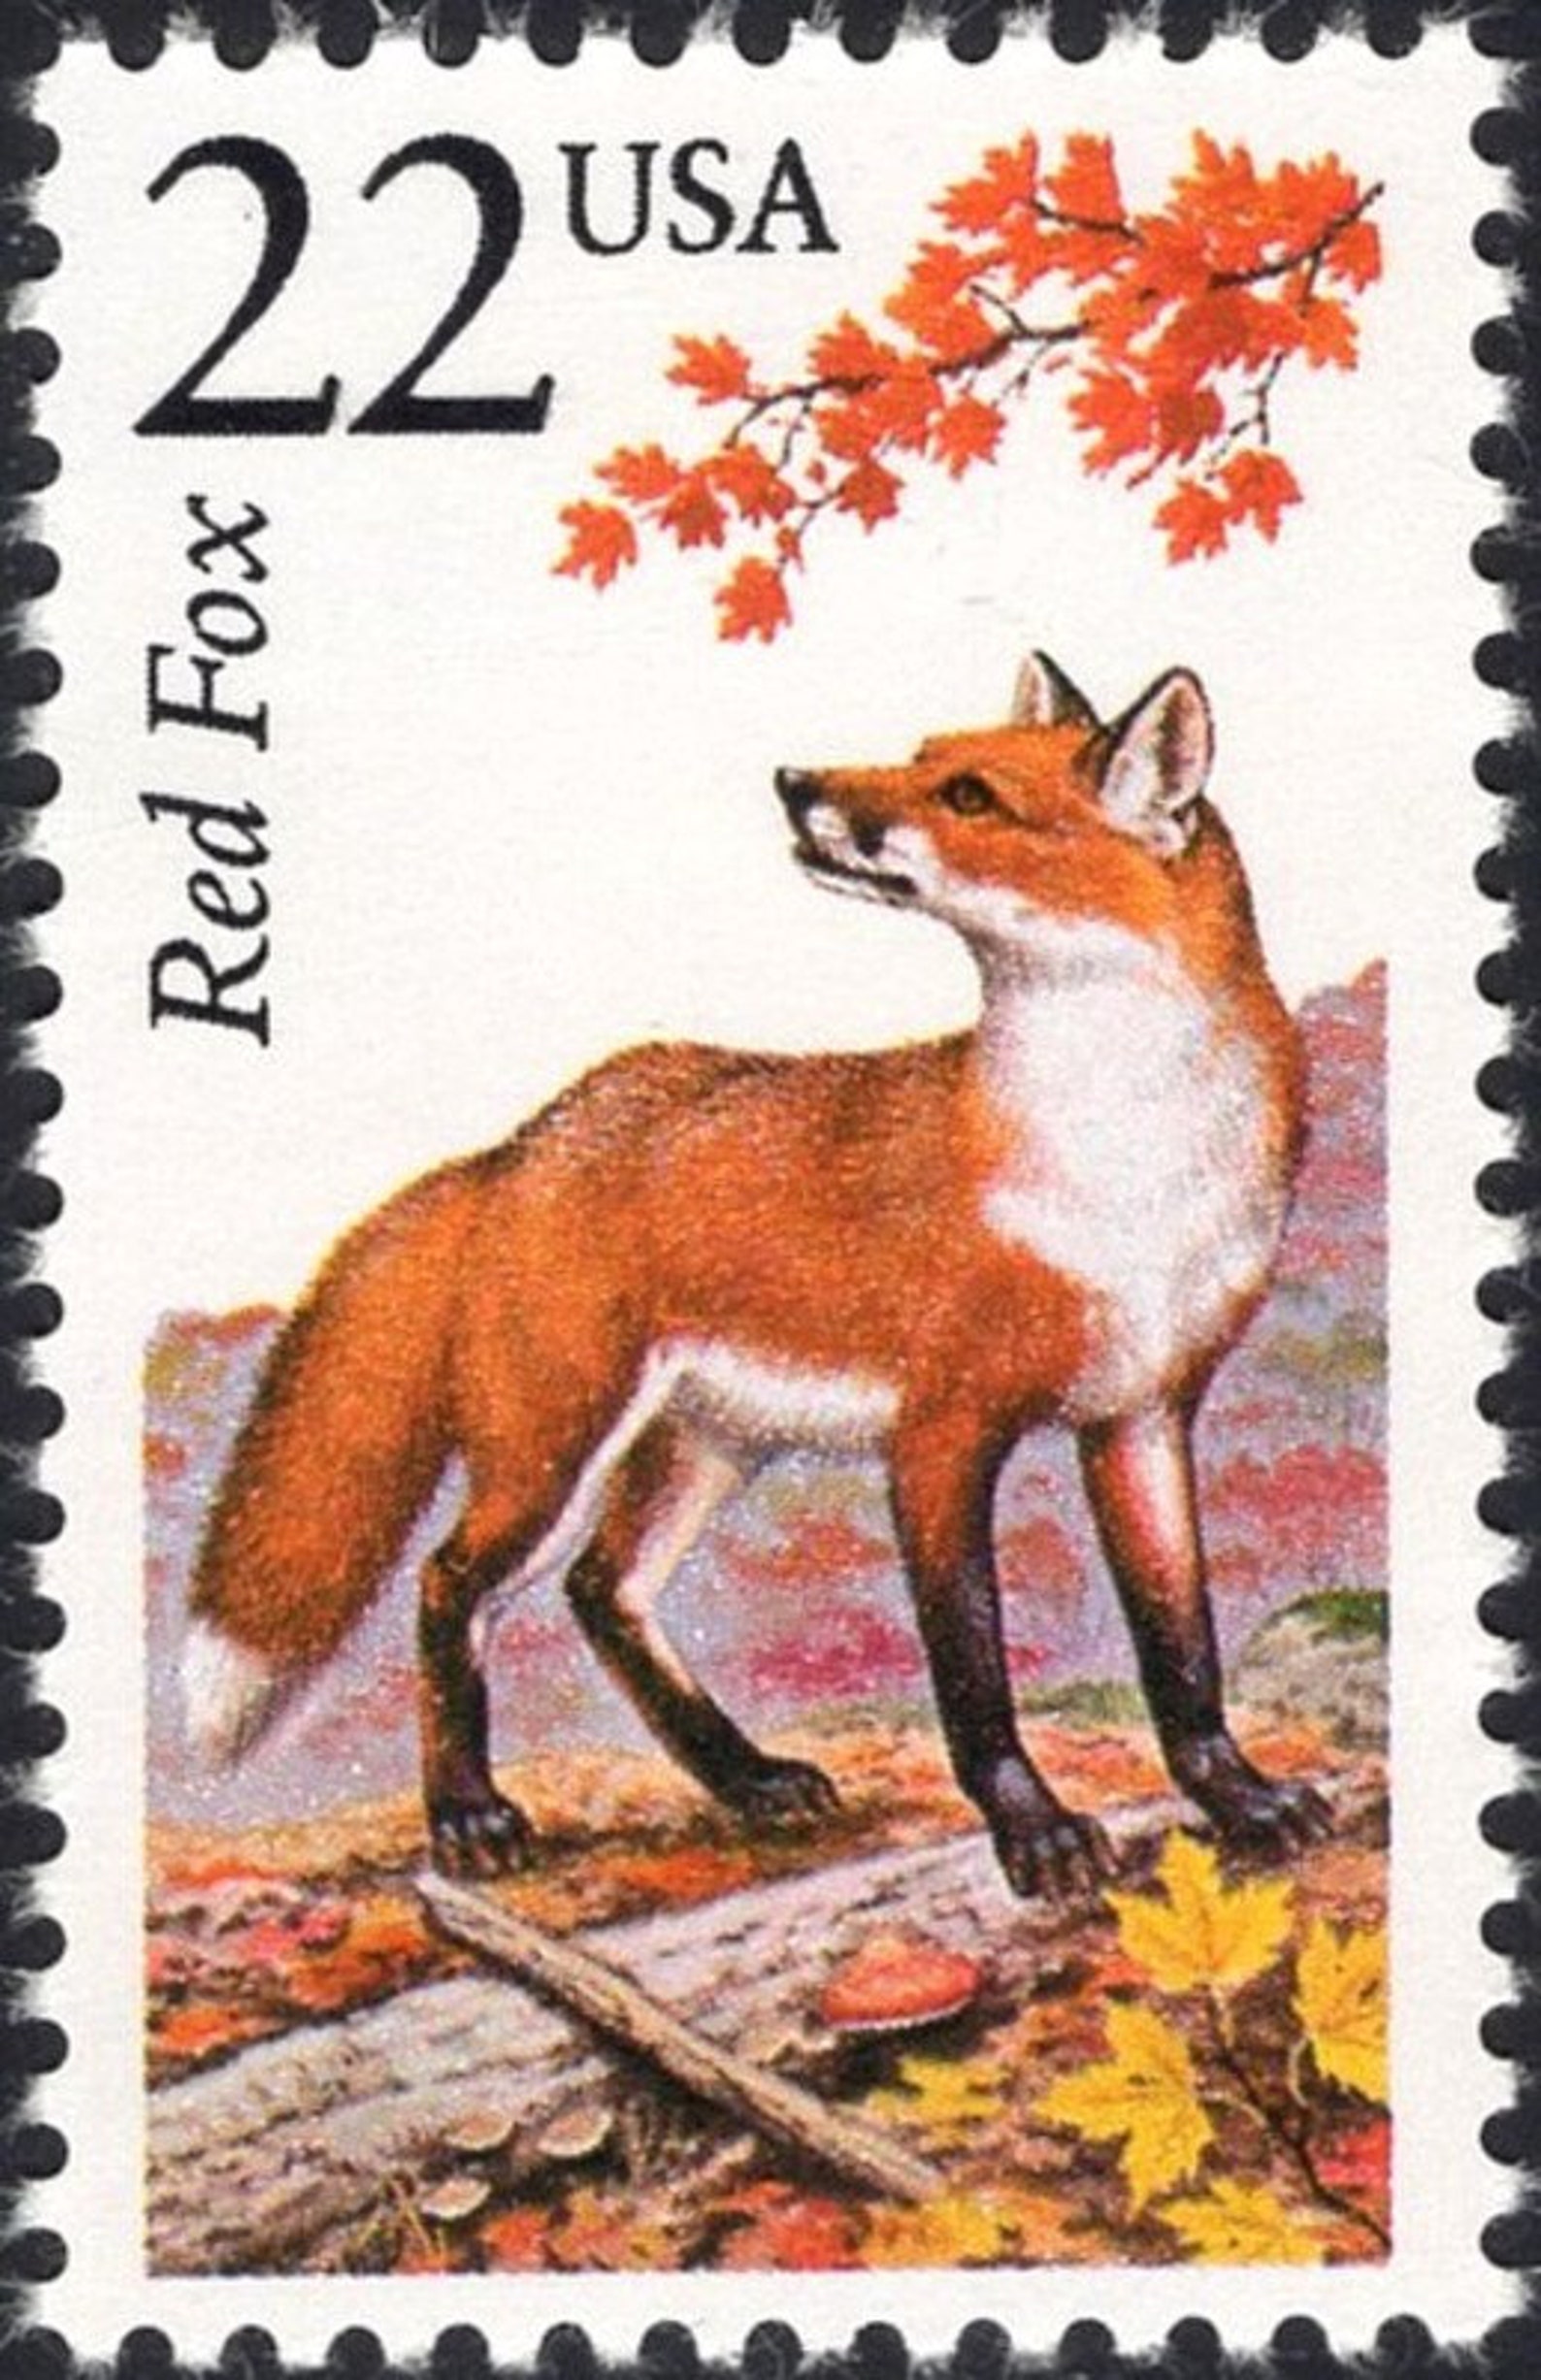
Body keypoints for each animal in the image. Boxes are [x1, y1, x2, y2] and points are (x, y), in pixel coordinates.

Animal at [183, 650, 1331, 1898]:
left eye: (969, 794)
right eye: (921, 758)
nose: (794, 781)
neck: (1125, 1164)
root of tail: (519, 1144)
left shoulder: (1142, 1414)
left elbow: (1182, 1655)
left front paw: (1241, 1798)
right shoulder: (939, 1433)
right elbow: (973, 1678)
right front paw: (1034, 1831)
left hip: (704, 1445)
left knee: (602, 1591)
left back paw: (745, 1777)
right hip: (555, 1448)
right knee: (450, 1584)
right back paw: (468, 1812)